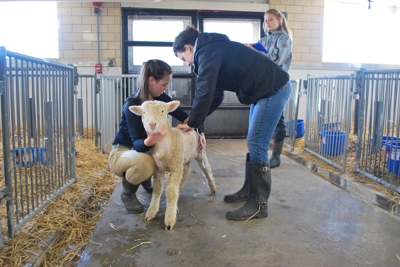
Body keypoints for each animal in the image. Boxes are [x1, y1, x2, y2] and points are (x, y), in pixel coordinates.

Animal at [129, 100, 217, 230]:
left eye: (162, 111)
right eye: (143, 112)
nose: (152, 124)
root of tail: (191, 129)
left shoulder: (176, 168)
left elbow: (170, 192)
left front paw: (169, 220)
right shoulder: (159, 168)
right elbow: (157, 190)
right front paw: (151, 212)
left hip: (199, 154)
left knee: (207, 170)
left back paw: (213, 189)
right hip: (183, 158)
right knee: (187, 170)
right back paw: (180, 187)